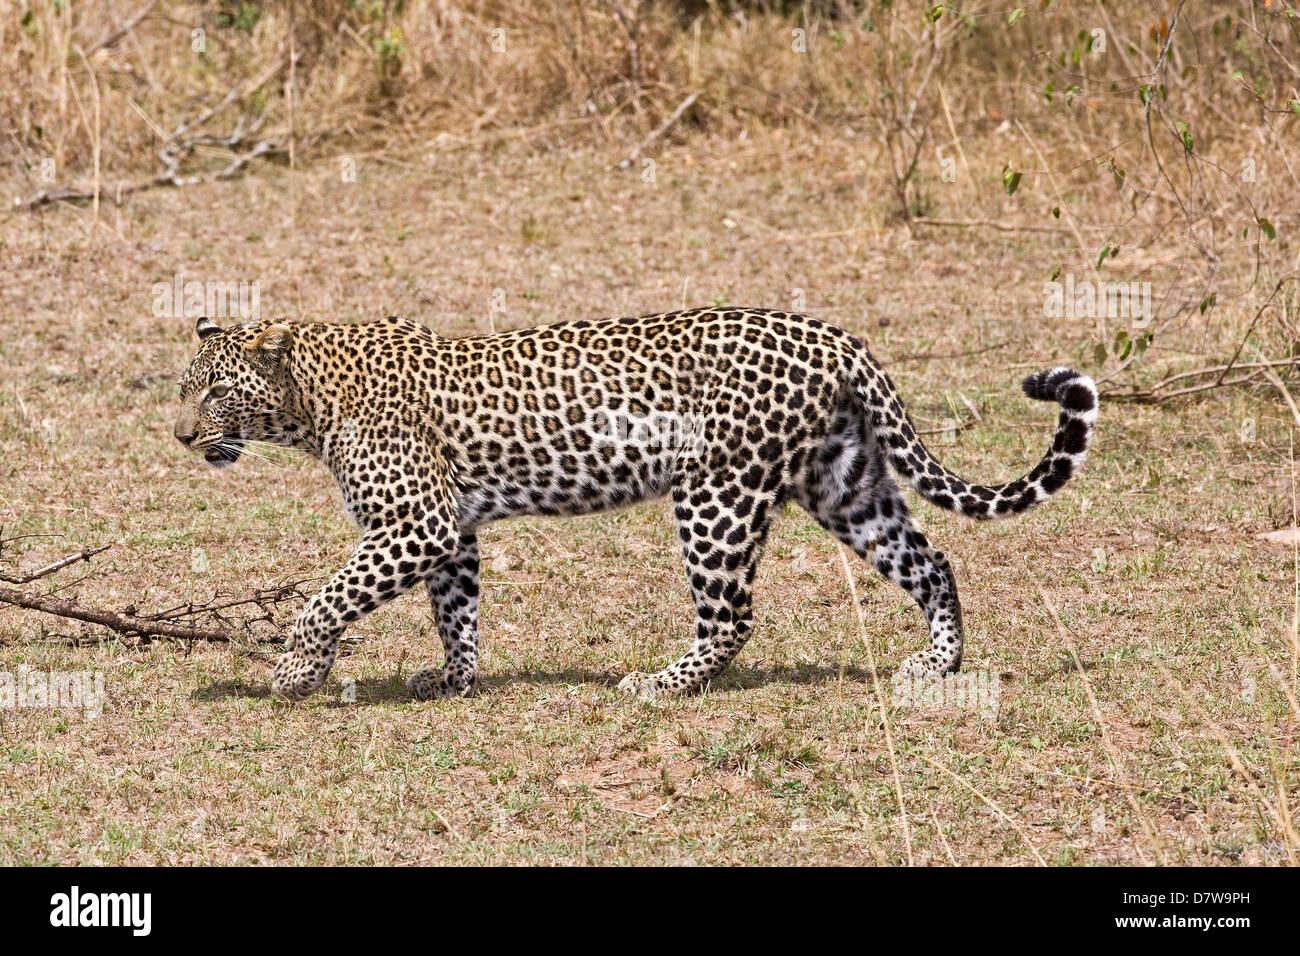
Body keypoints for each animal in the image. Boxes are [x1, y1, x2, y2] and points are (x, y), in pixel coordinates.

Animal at [173, 308, 1096, 701]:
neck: (309, 401)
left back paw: (659, 684)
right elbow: (455, 611)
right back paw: (938, 665)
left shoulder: (416, 523)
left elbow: (326, 598)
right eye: (185, 388)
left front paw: (296, 674)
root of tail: (836, 335)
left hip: (717, 493)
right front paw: (454, 681)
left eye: (215, 390)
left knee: (732, 616)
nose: (181, 436)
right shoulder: (451, 531)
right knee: (932, 558)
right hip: (843, 481)